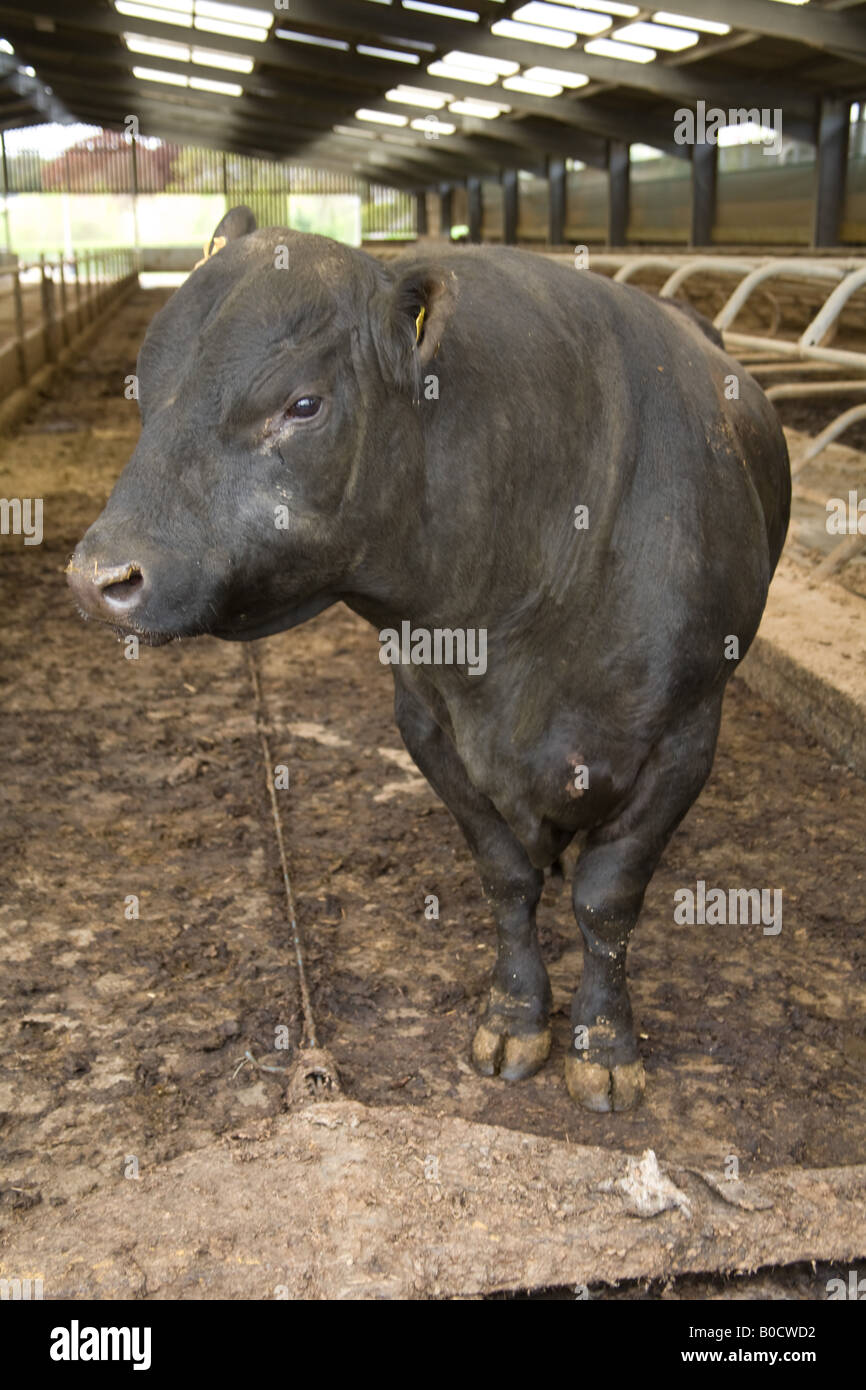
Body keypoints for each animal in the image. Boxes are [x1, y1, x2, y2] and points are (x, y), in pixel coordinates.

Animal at [67, 209, 790, 1111]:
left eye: (303, 403)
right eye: (147, 389)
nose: (100, 578)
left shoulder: (685, 735)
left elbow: (608, 898)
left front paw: (604, 1047)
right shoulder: (427, 719)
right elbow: (506, 877)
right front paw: (515, 1020)